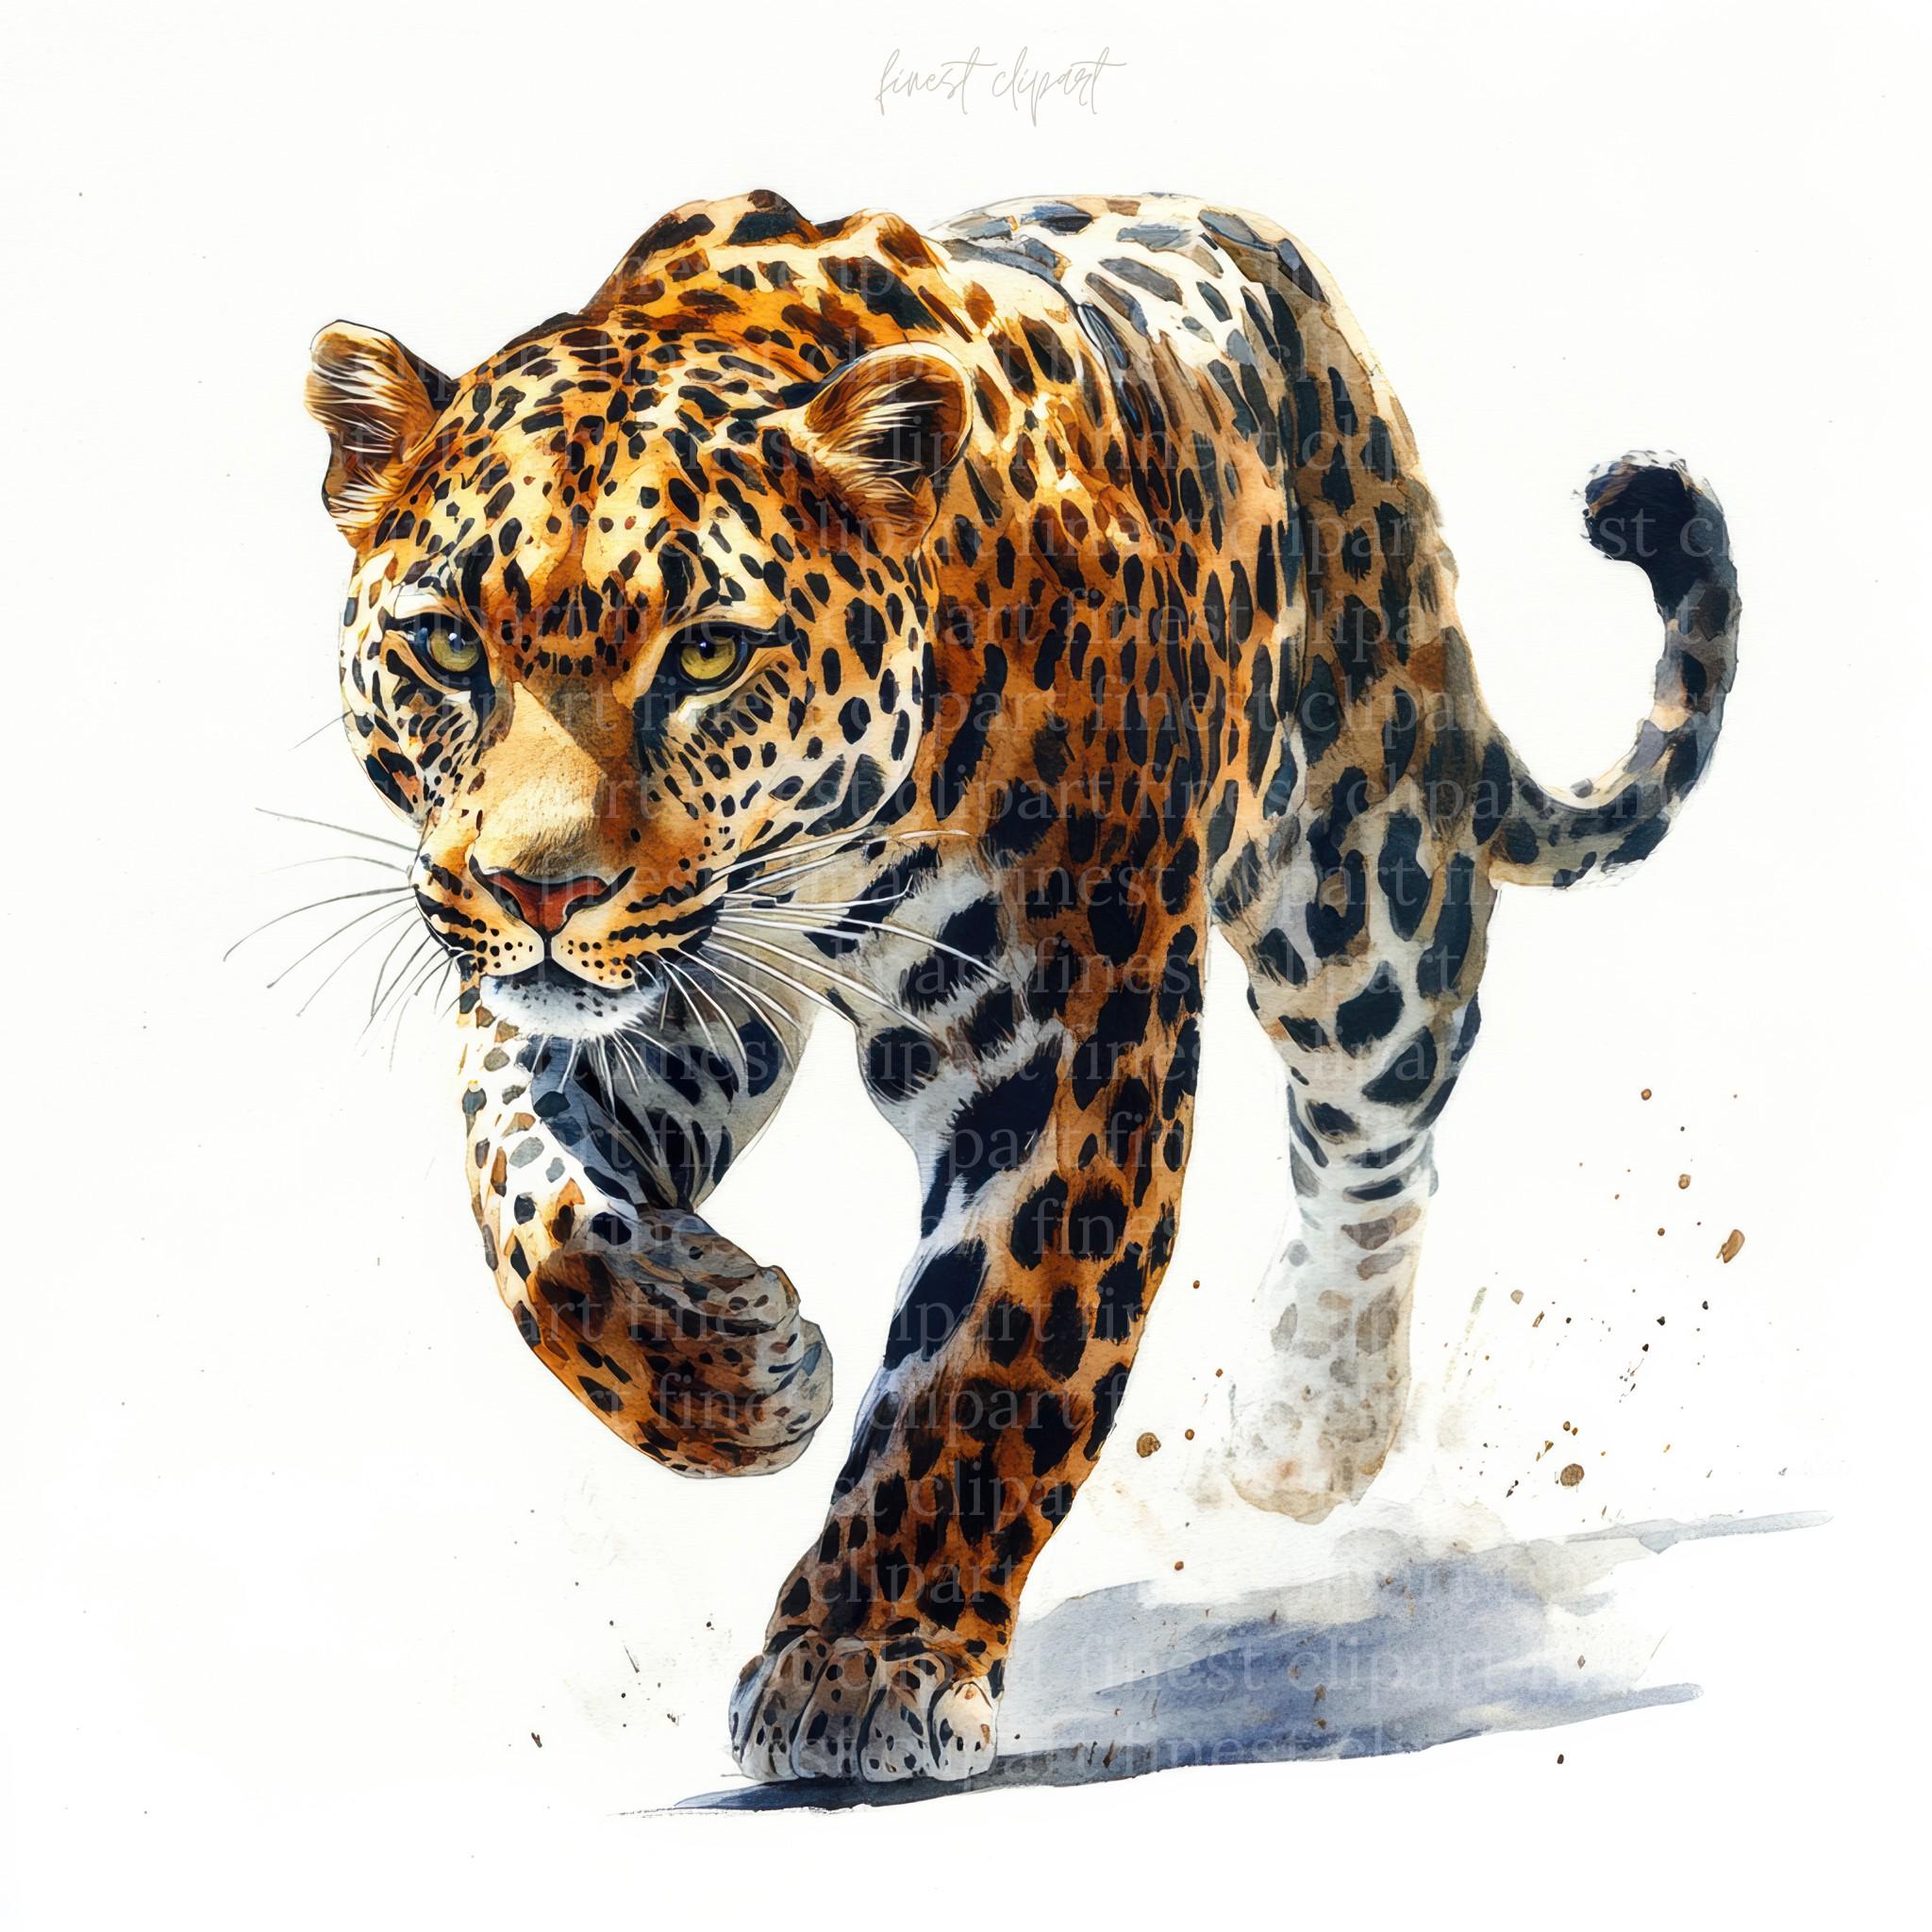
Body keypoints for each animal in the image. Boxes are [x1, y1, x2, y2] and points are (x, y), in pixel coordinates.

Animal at [304, 188, 1738, 1786]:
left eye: (710, 653)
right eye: (446, 645)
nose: (541, 893)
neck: (797, 860)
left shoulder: (1066, 1041)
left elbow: (990, 1361)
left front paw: (869, 1660)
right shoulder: (659, 1001)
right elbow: (540, 1222)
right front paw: (738, 1369)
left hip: (1359, 874)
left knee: (1381, 1126)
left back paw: (1314, 1426)